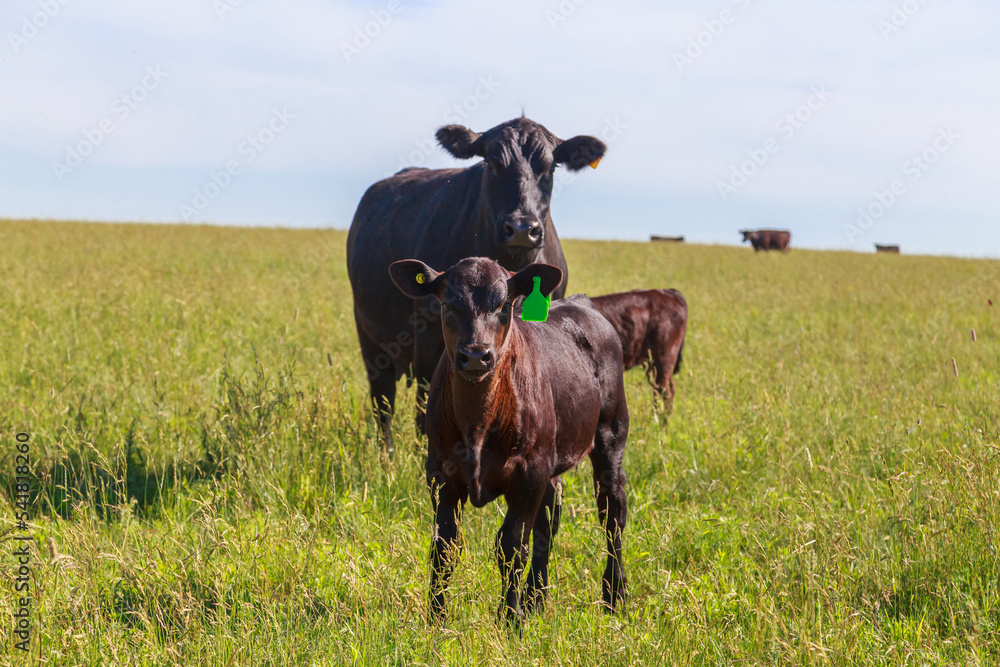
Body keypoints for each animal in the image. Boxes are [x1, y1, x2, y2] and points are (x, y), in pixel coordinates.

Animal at [348, 117, 608, 453]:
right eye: (492, 163)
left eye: (550, 167)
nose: (521, 229)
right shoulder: (430, 342)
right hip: (371, 339)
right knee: (383, 401)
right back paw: (387, 453)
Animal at [388, 256, 629, 626]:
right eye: (447, 305)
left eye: (504, 305)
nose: (476, 355)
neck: (478, 420)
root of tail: (581, 303)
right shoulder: (441, 474)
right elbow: (444, 546)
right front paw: (437, 618)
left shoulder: (528, 474)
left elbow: (512, 545)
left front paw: (509, 619)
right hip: (551, 463)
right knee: (549, 521)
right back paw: (536, 598)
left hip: (610, 436)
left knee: (611, 511)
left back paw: (613, 596)